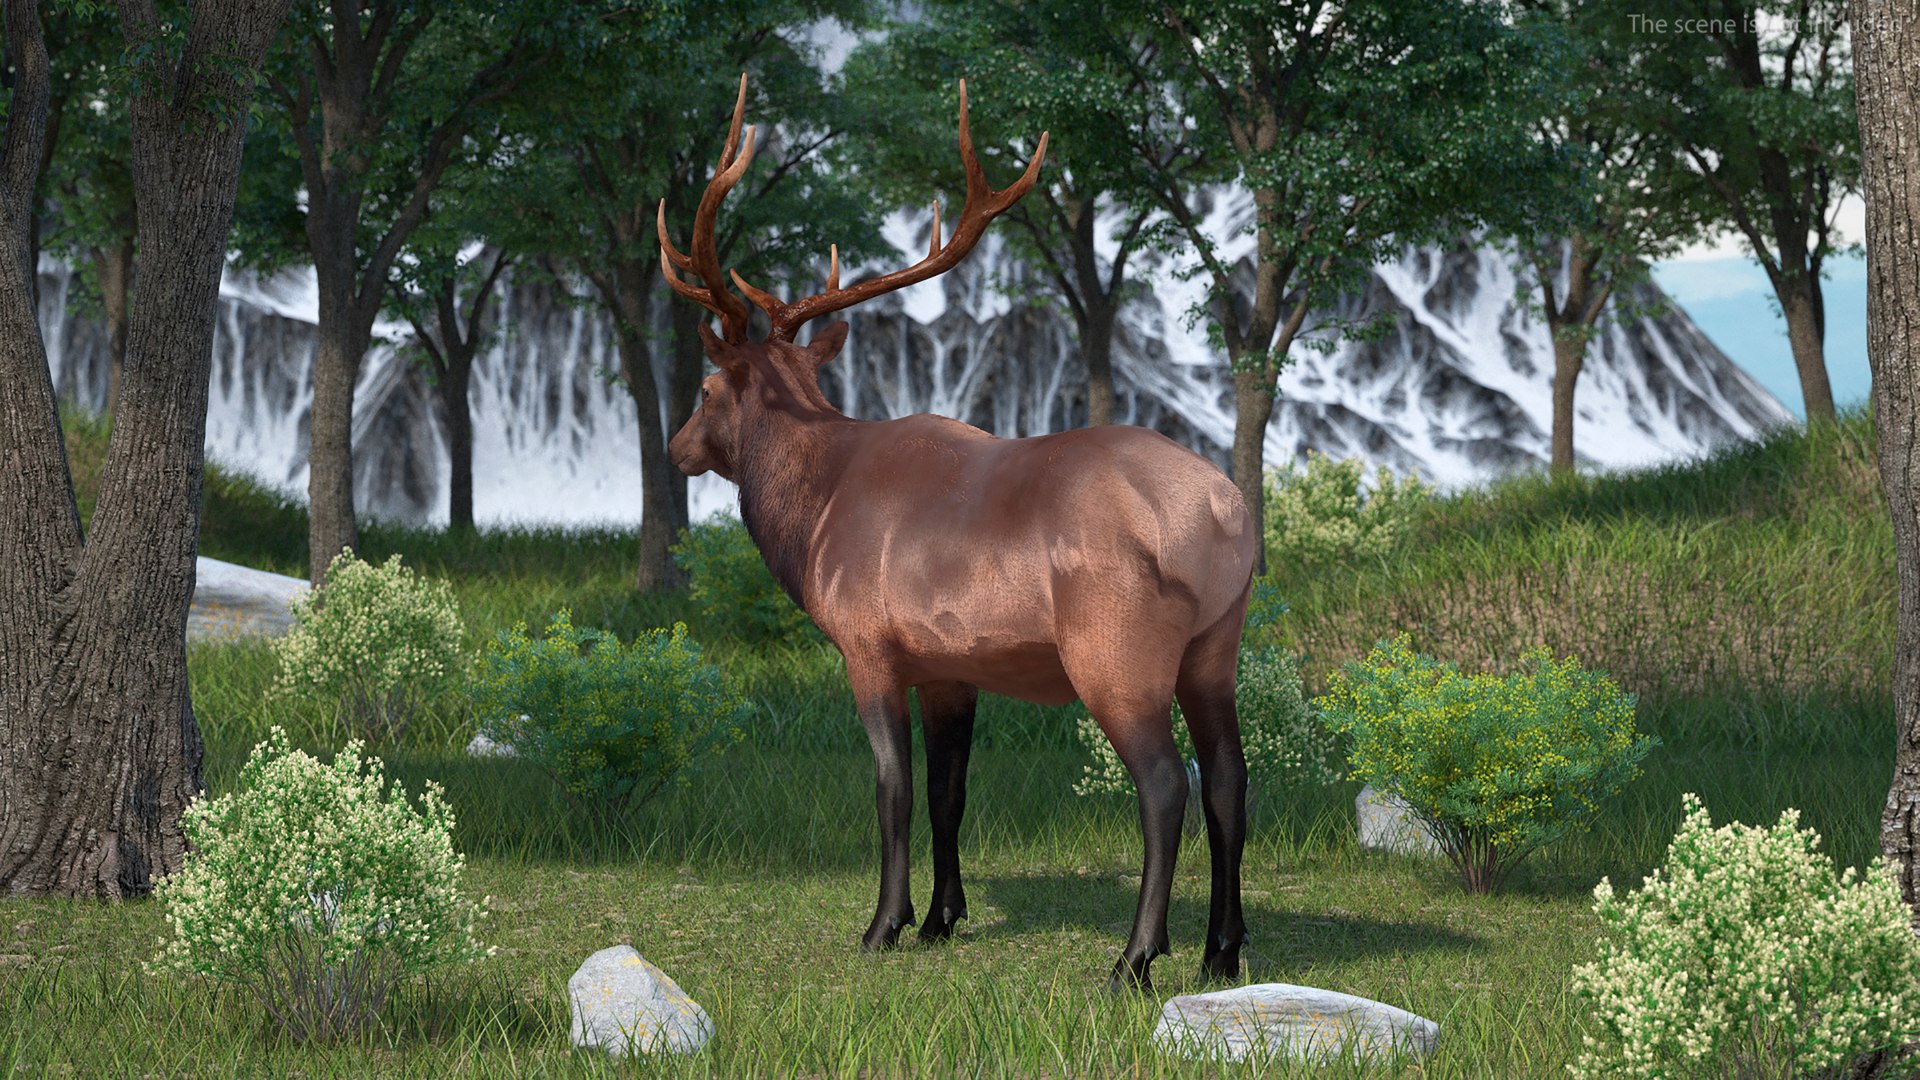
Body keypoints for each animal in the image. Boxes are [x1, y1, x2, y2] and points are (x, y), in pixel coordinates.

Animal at [658, 75, 1257, 990]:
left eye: (706, 390)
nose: (675, 446)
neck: (811, 520)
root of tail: (1225, 518)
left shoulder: (868, 644)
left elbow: (892, 790)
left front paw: (883, 924)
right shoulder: (950, 665)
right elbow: (950, 792)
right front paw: (944, 917)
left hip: (1117, 651)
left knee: (1164, 783)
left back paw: (1135, 958)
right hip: (1215, 645)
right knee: (1229, 775)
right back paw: (1222, 951)